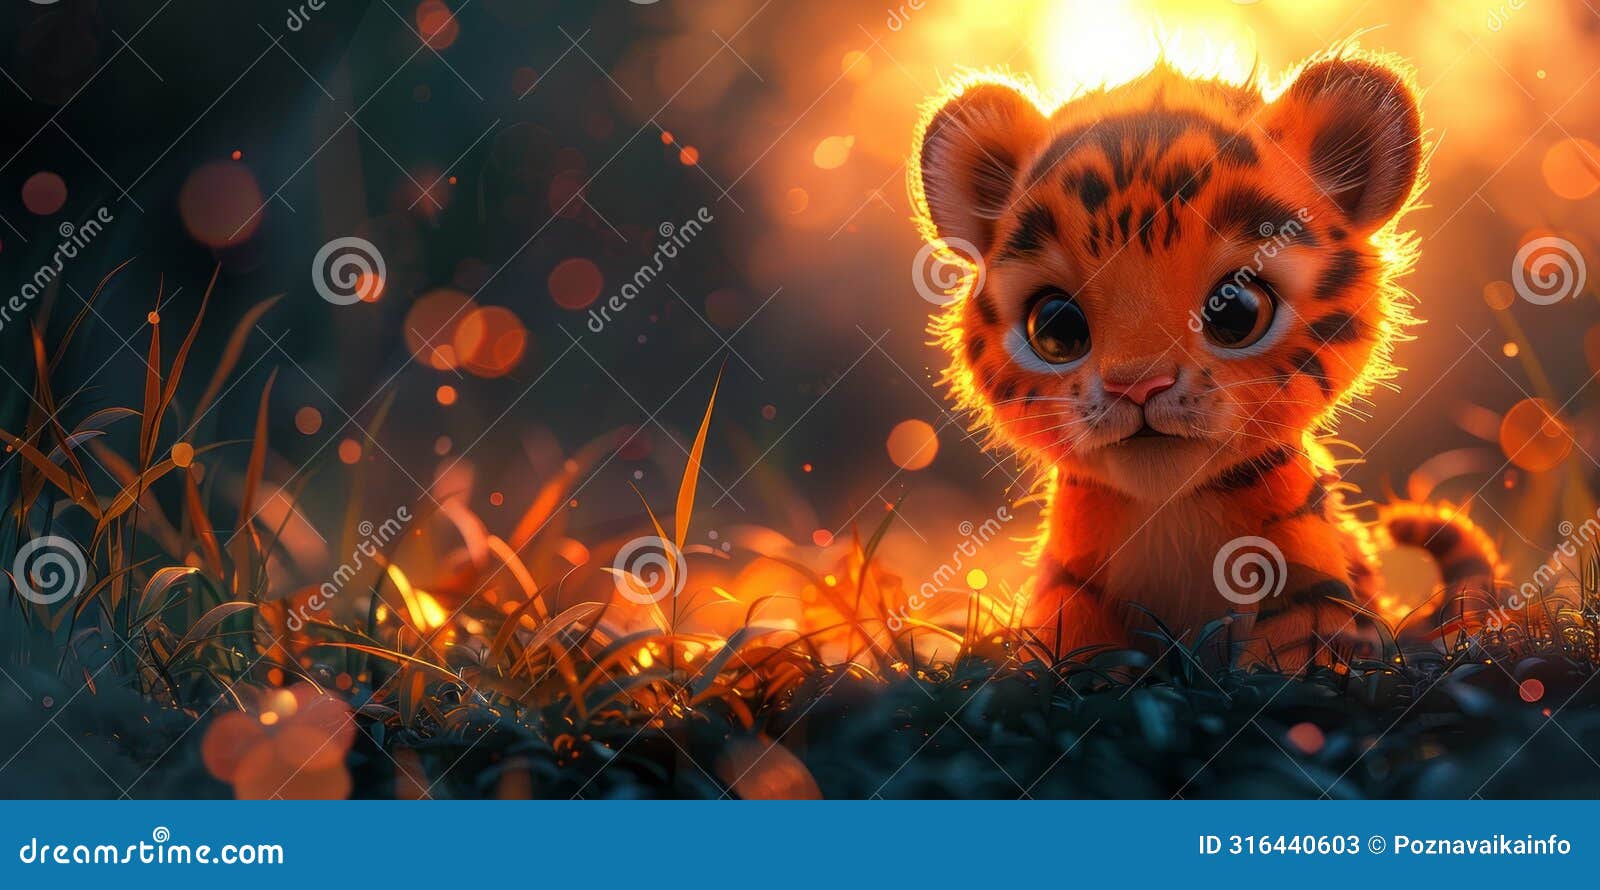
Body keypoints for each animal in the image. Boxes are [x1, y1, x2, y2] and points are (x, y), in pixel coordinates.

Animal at [908, 44, 1501, 670]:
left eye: (1236, 309)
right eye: (1055, 327)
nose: (1138, 385)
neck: (1169, 513)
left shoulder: (1308, 583)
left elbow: (1291, 653)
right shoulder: (1068, 587)